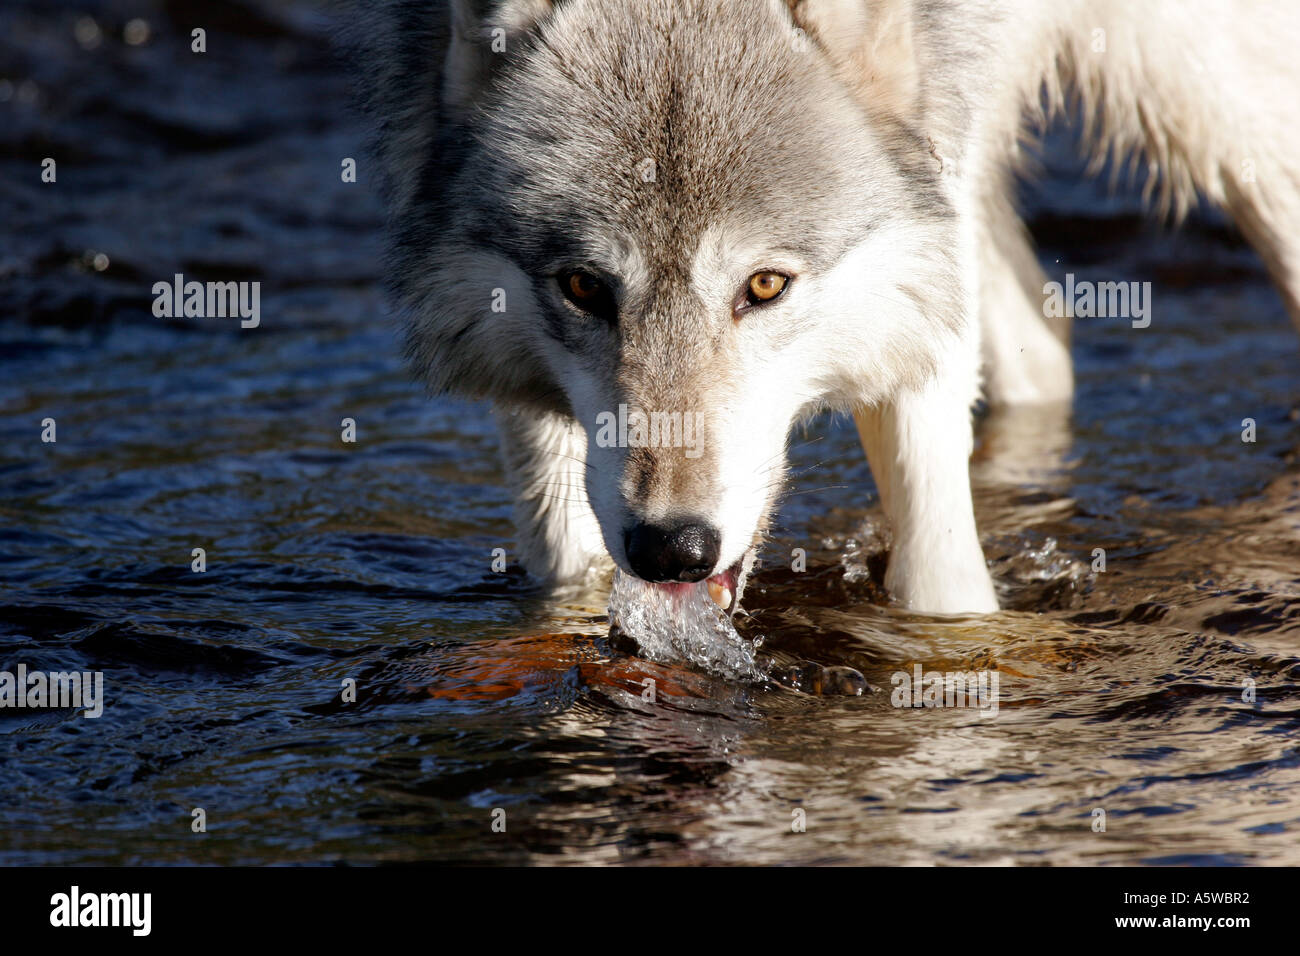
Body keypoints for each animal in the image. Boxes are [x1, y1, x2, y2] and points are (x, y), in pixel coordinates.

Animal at [358, 0, 1300, 615]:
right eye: (586, 287)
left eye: (764, 286)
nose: (673, 548)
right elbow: (565, 565)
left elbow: (940, 579)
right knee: (1043, 340)